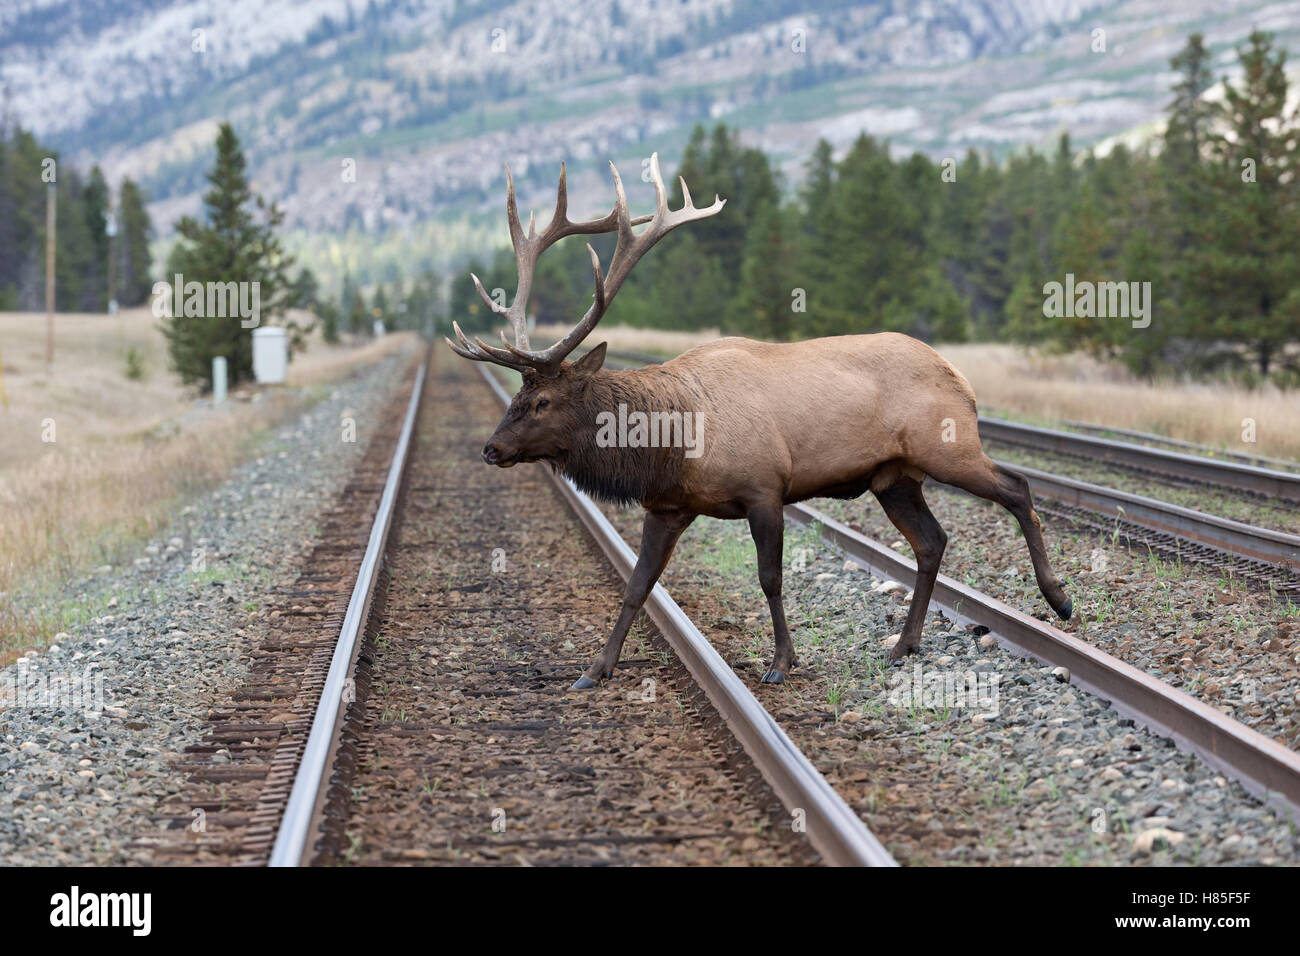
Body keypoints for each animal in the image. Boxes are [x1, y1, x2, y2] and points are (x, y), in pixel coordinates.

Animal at [446, 154, 1073, 690]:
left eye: (544, 401)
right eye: (518, 396)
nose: (491, 448)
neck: (672, 443)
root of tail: (960, 376)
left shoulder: (764, 487)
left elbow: (770, 577)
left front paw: (781, 661)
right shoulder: (668, 506)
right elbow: (636, 585)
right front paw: (595, 669)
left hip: (947, 445)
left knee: (1017, 487)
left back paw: (1058, 599)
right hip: (894, 477)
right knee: (932, 541)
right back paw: (903, 644)